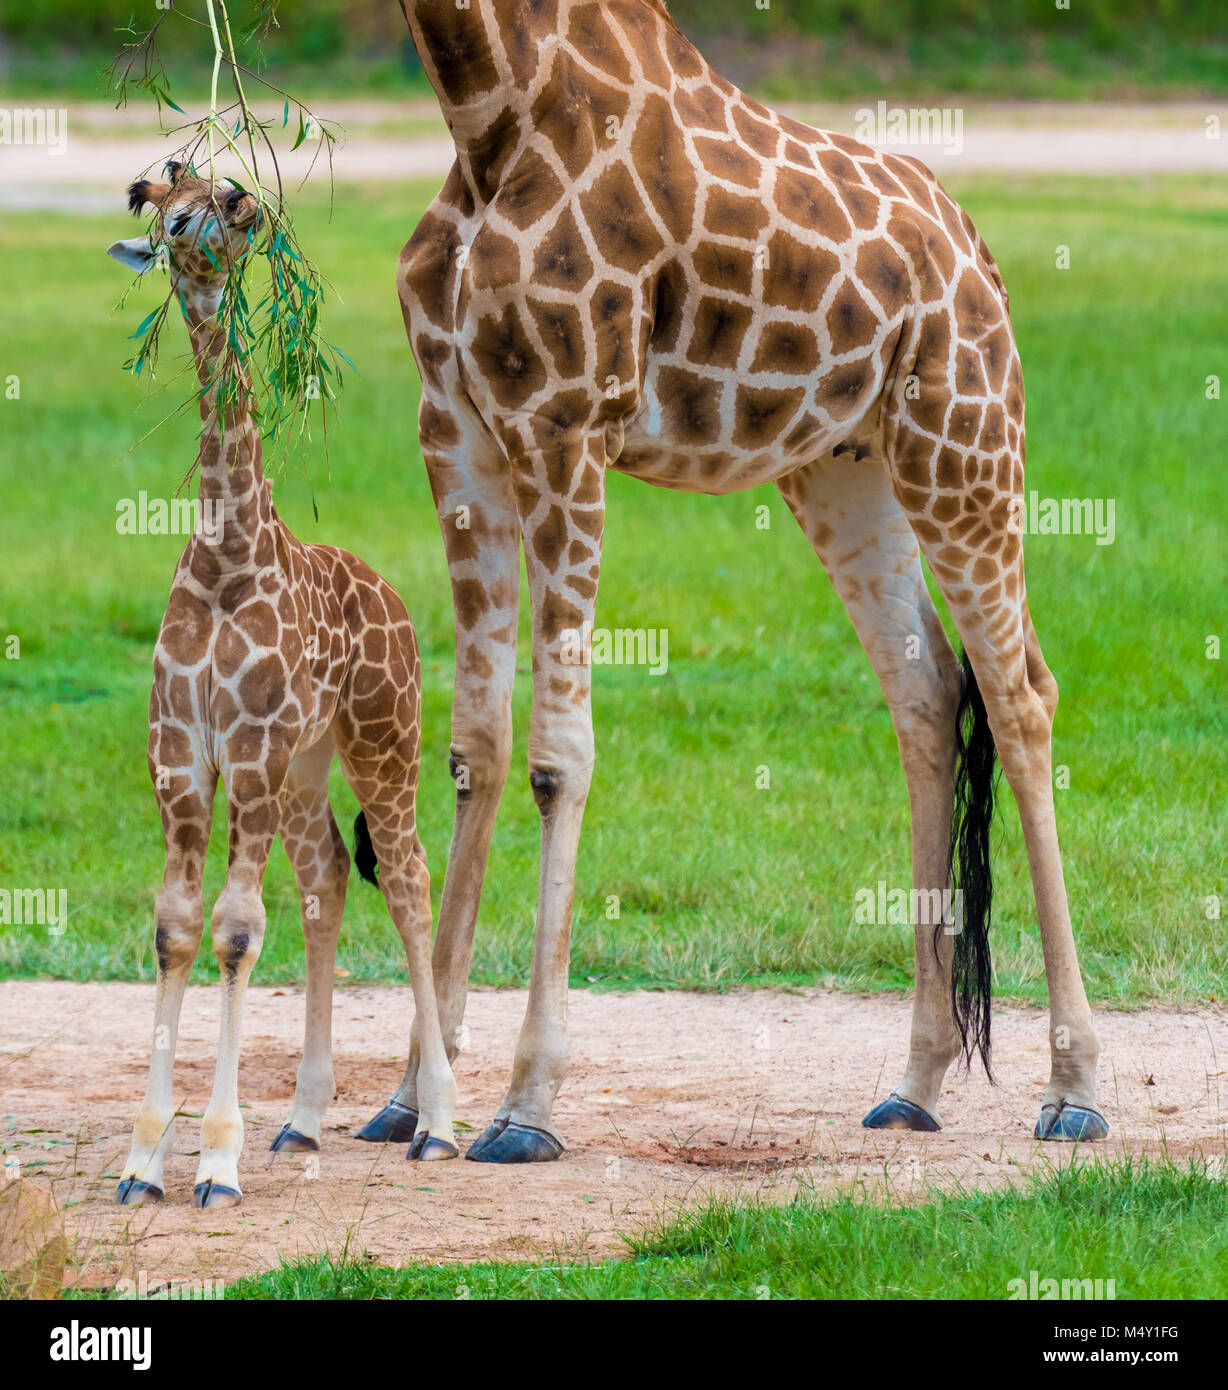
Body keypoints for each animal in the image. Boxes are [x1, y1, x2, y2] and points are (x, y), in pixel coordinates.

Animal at [107, 162, 459, 1208]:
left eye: (210, 186)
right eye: (170, 207)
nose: (241, 203)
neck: (229, 554)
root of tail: (396, 597)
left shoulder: (249, 748)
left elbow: (233, 930)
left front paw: (215, 1160)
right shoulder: (184, 752)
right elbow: (178, 927)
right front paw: (145, 1160)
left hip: (385, 737)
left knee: (411, 878)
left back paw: (438, 1123)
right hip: (309, 766)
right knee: (329, 878)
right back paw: (302, 1119)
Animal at [357, 0, 1108, 1161]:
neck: (489, 108)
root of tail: (977, 250)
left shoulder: (565, 424)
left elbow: (558, 755)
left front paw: (526, 1106)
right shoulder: (458, 427)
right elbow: (475, 747)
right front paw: (408, 1100)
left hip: (965, 439)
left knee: (1021, 693)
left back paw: (1073, 1089)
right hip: (844, 467)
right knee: (928, 691)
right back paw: (914, 1082)